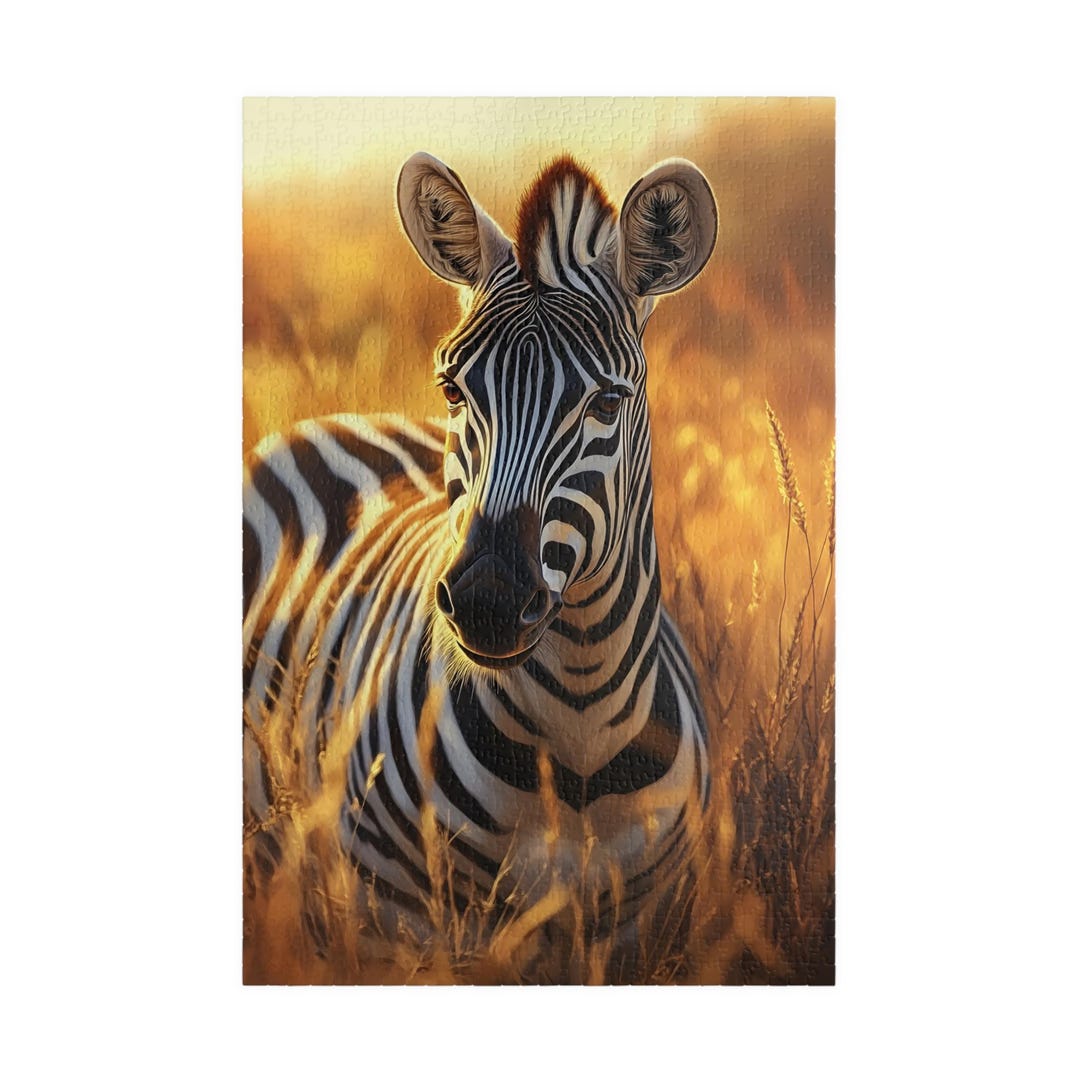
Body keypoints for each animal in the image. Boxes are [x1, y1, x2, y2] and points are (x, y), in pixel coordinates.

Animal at [243, 151, 718, 980]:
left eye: (606, 404)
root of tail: (333, 419)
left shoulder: (645, 931)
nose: (487, 602)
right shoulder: (408, 927)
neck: (577, 737)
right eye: (454, 389)